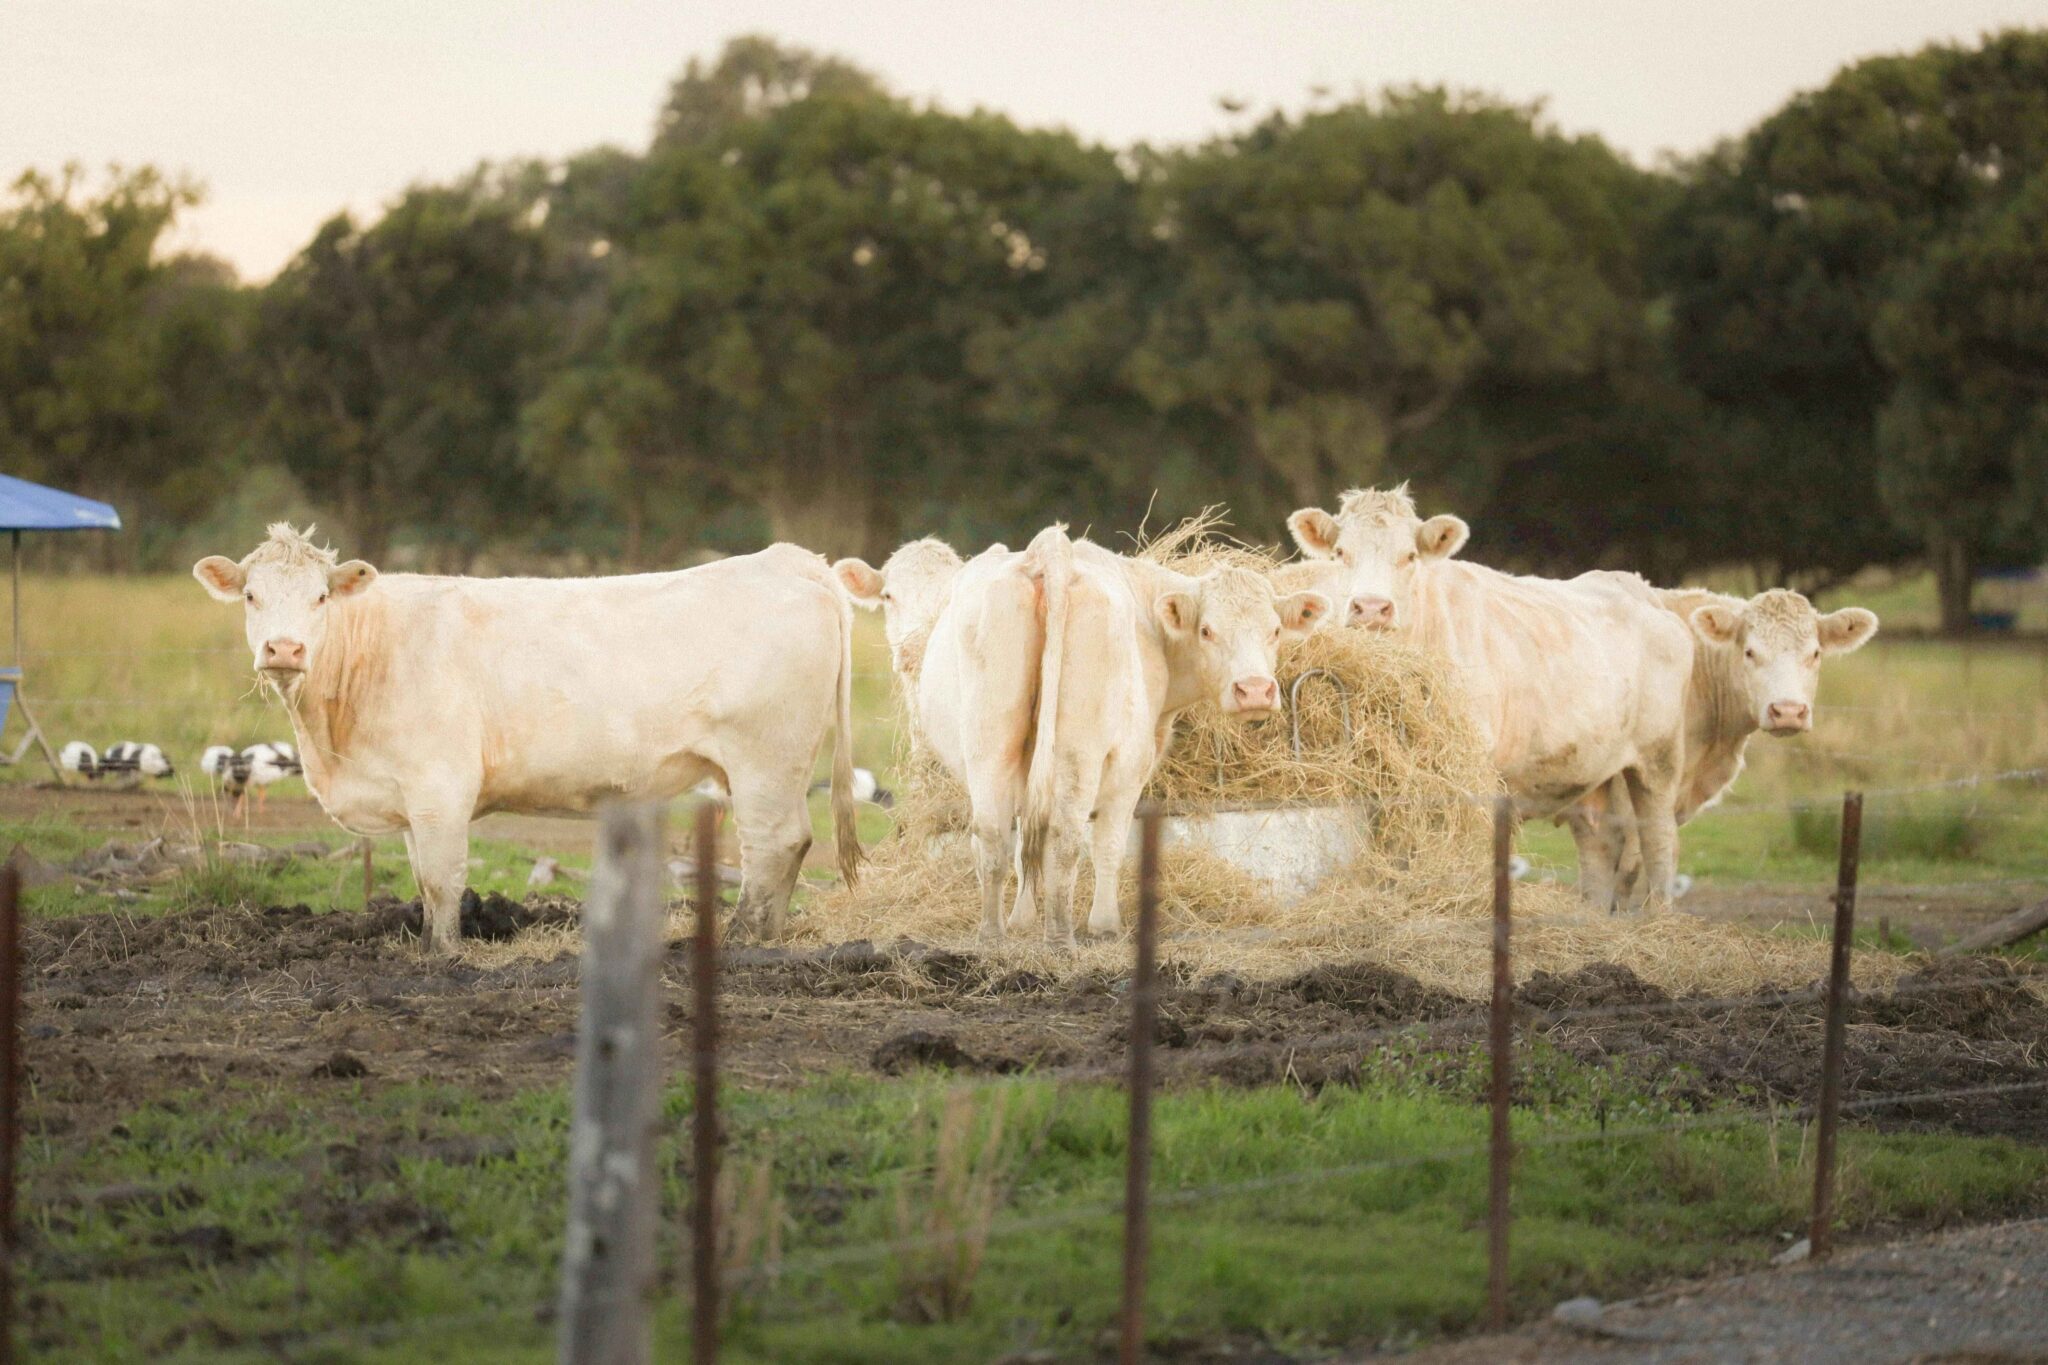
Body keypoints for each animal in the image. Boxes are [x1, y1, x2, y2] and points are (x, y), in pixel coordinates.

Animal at [193, 524, 862, 952]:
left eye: (321, 596)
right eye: (251, 595)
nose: (284, 649)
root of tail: (787, 558)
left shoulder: (439, 788)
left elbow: (442, 880)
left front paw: (445, 955)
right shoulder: (410, 798)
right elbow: (422, 880)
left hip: (765, 759)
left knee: (773, 843)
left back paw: (743, 938)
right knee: (789, 846)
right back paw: (769, 936)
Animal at [1019, 531, 1329, 945]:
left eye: (1275, 630)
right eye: (1206, 631)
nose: (1254, 691)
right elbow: (1108, 840)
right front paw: (1103, 924)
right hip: (1079, 753)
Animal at [1286, 486, 1696, 910]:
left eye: (1410, 555)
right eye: (1340, 552)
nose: (1370, 608)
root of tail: (1638, 588)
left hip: (1659, 760)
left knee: (1659, 840)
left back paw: (1659, 915)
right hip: (1594, 765)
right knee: (1601, 842)